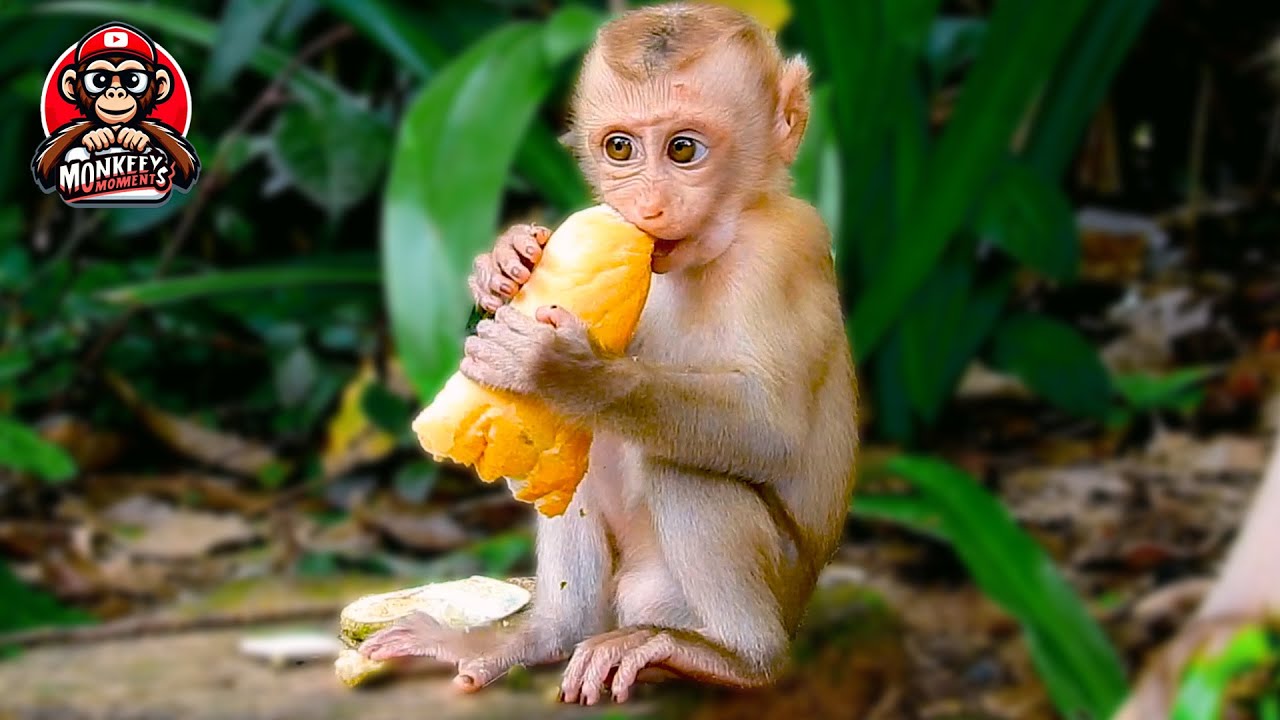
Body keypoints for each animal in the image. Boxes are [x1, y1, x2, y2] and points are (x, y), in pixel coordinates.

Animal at [359, 3, 859, 705]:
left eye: (683, 149)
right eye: (620, 147)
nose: (645, 204)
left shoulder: (785, 251)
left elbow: (771, 429)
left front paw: (559, 368)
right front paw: (505, 264)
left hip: (762, 590)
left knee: (687, 463)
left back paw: (736, 660)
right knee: (580, 454)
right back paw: (545, 636)